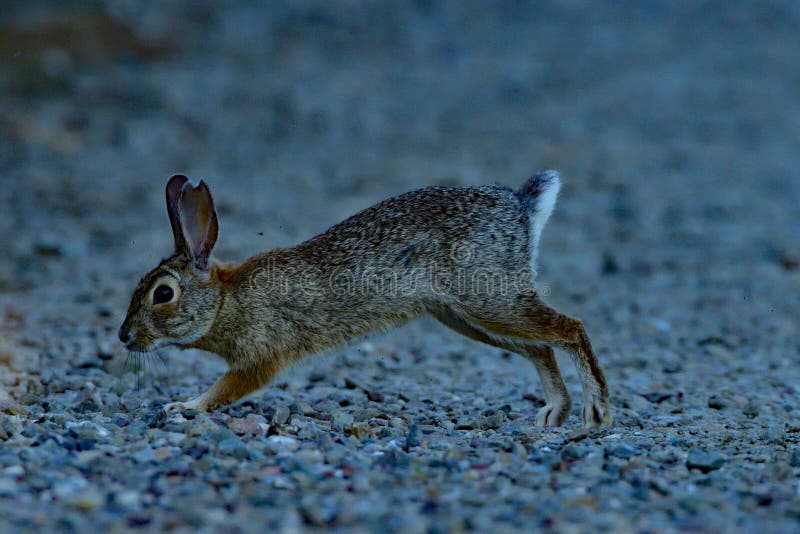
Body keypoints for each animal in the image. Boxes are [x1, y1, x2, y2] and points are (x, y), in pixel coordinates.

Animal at [119, 171, 611, 427]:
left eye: (163, 293)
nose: (124, 337)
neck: (224, 301)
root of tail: (522, 208)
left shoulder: (262, 354)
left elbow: (226, 389)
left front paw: (185, 408)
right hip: (466, 316)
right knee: (541, 347)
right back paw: (554, 413)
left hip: (488, 300)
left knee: (570, 328)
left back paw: (596, 414)